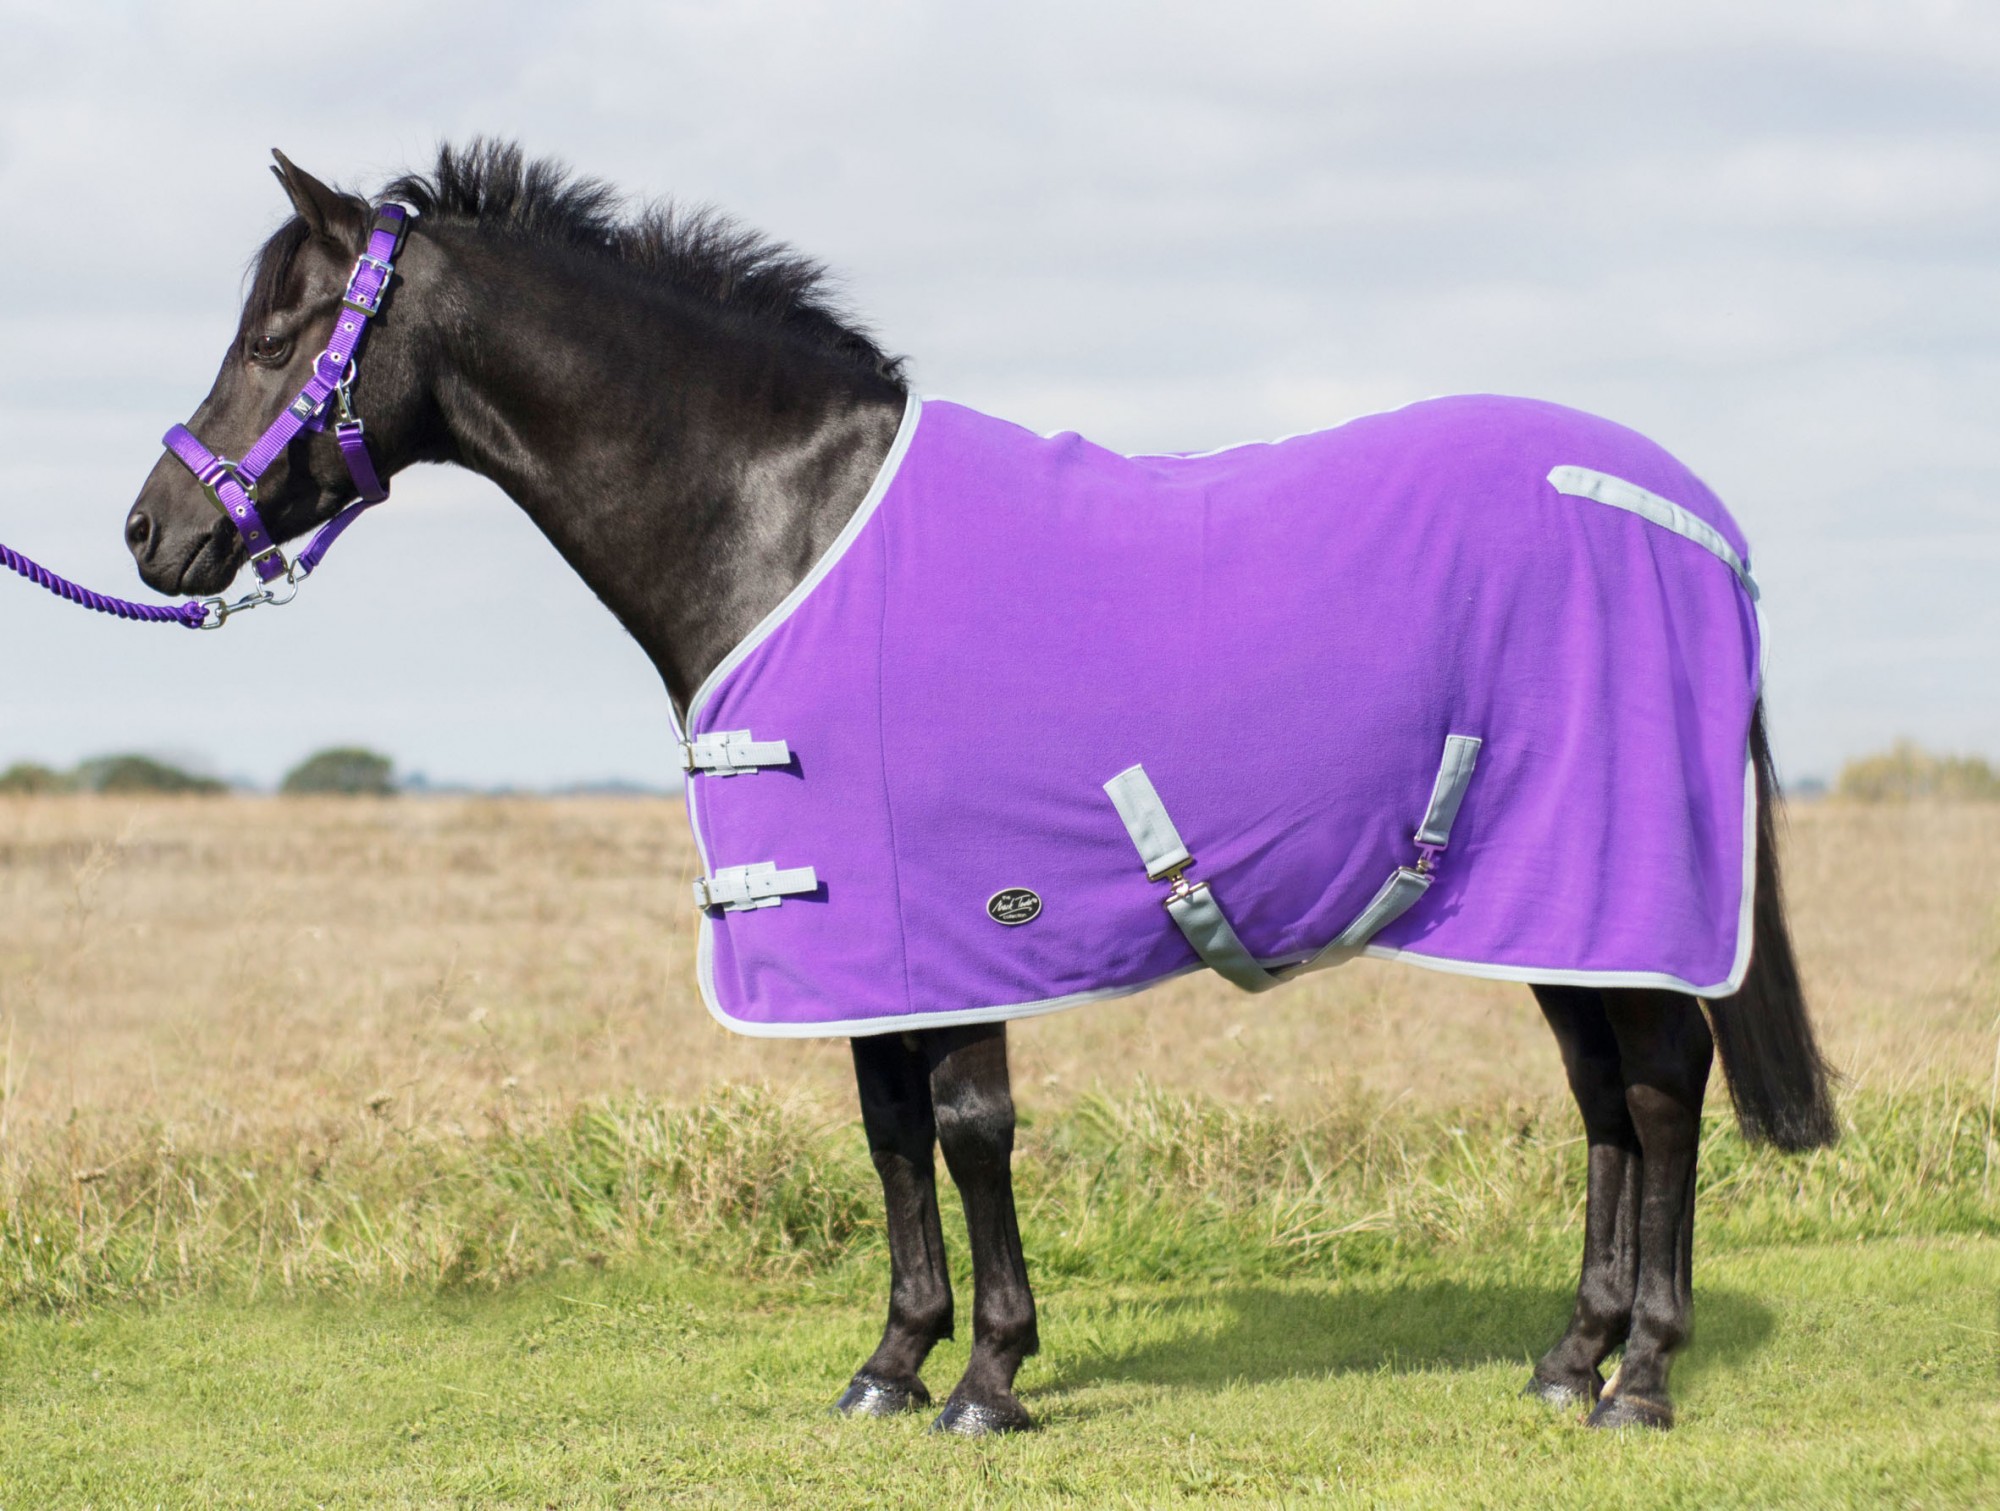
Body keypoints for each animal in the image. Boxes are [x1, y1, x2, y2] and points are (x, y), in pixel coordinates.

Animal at [125, 141, 1838, 1438]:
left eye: (278, 335)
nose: (153, 533)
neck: (787, 523)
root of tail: (1698, 518)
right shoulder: (860, 932)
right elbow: (887, 1127)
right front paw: (893, 1361)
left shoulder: (954, 908)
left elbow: (966, 1123)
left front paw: (990, 1379)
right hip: (1536, 896)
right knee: (1607, 1093)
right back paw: (1568, 1358)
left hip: (1611, 867)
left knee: (1661, 1082)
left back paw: (1641, 1376)